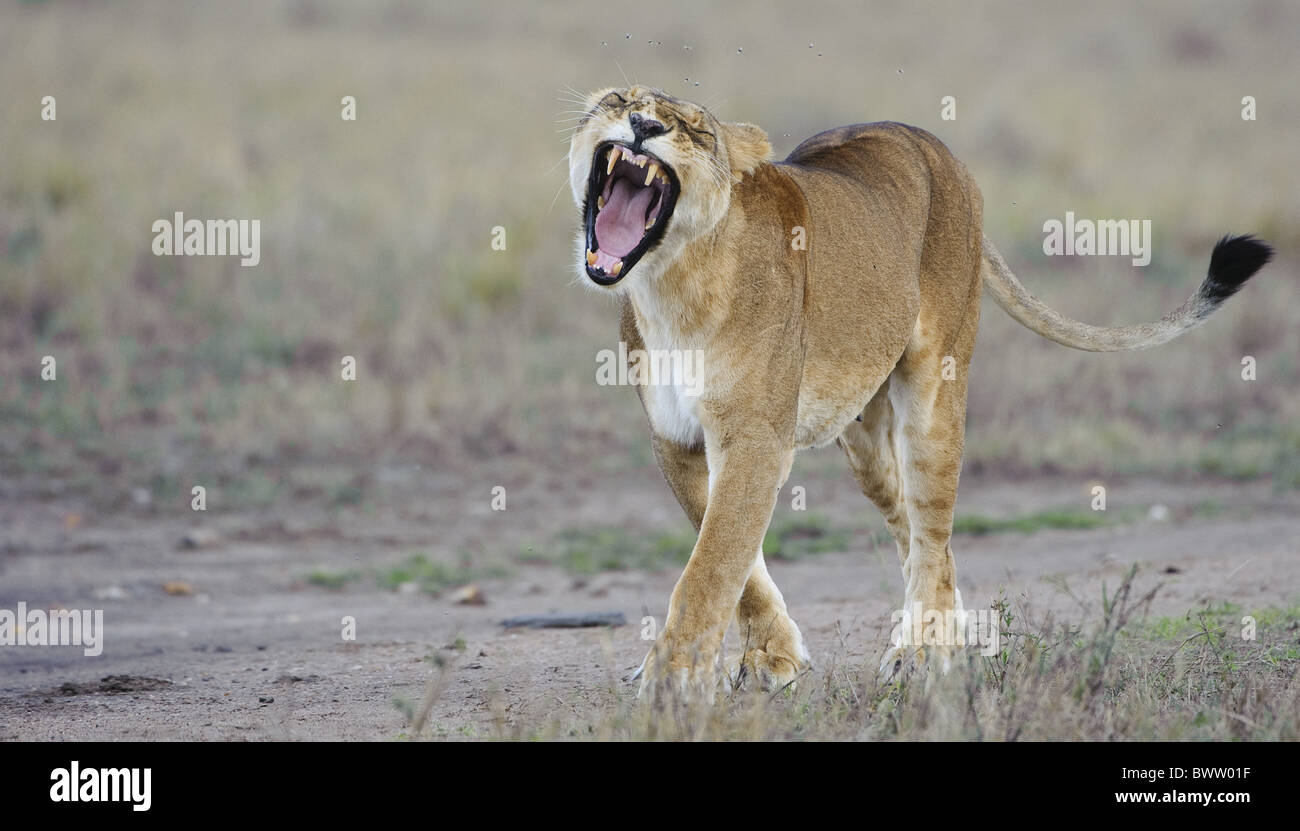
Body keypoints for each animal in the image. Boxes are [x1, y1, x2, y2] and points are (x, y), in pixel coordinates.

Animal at [567, 85, 1272, 697]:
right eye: (620, 100)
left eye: (694, 128)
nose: (643, 125)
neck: (671, 280)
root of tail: (938, 147)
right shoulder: (676, 441)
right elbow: (732, 562)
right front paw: (773, 658)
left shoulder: (754, 438)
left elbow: (713, 563)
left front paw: (673, 678)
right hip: (863, 438)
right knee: (912, 528)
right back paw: (948, 637)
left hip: (934, 394)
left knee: (932, 529)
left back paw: (921, 653)